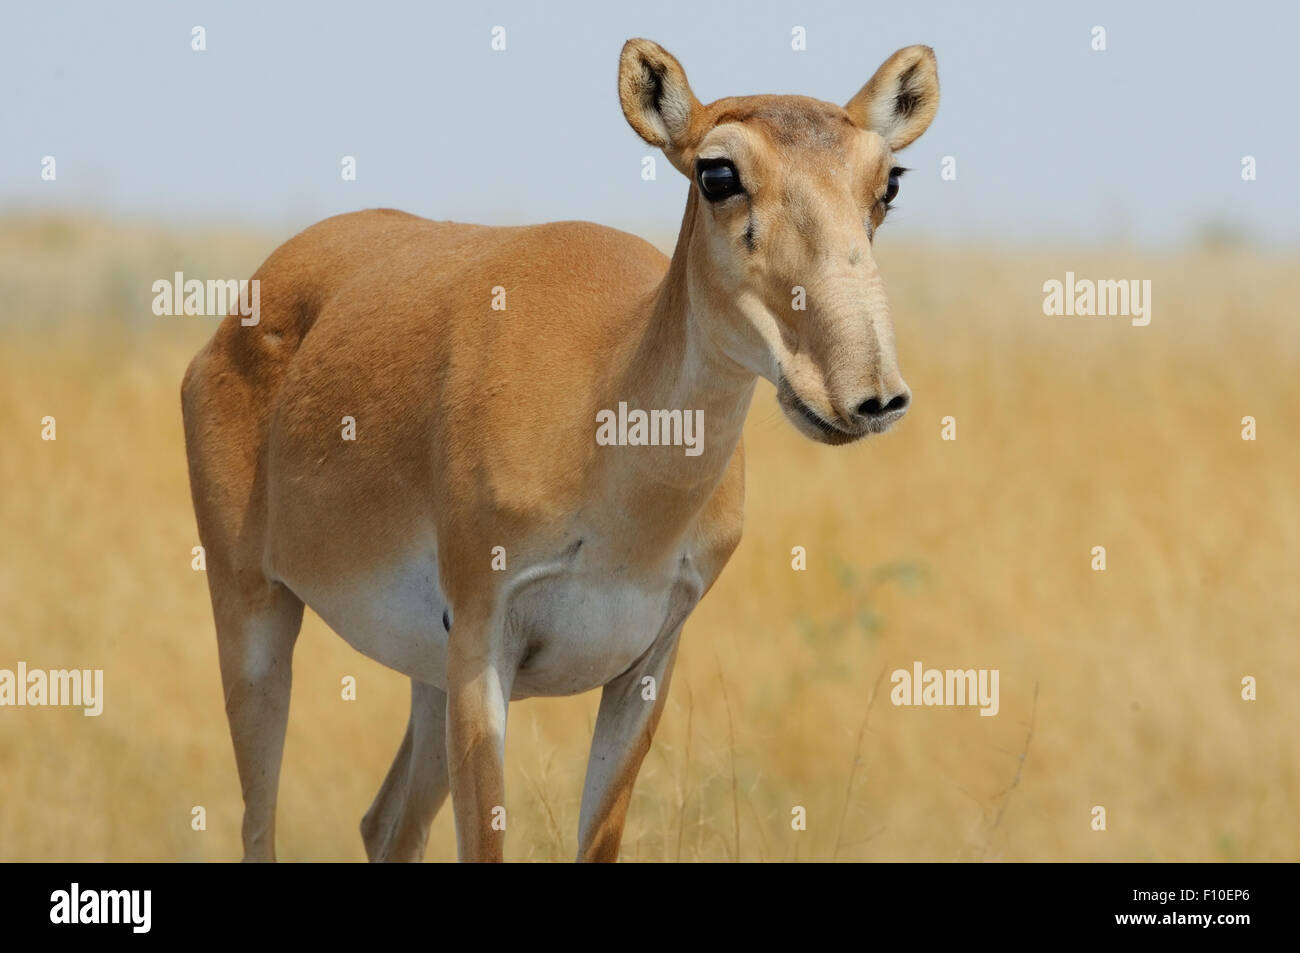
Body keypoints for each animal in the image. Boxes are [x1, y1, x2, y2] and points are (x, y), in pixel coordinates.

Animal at [181, 38, 939, 862]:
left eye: (889, 180)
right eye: (717, 172)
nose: (868, 394)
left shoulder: (645, 666)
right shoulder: (482, 643)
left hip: (422, 676)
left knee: (385, 822)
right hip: (254, 609)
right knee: (261, 824)